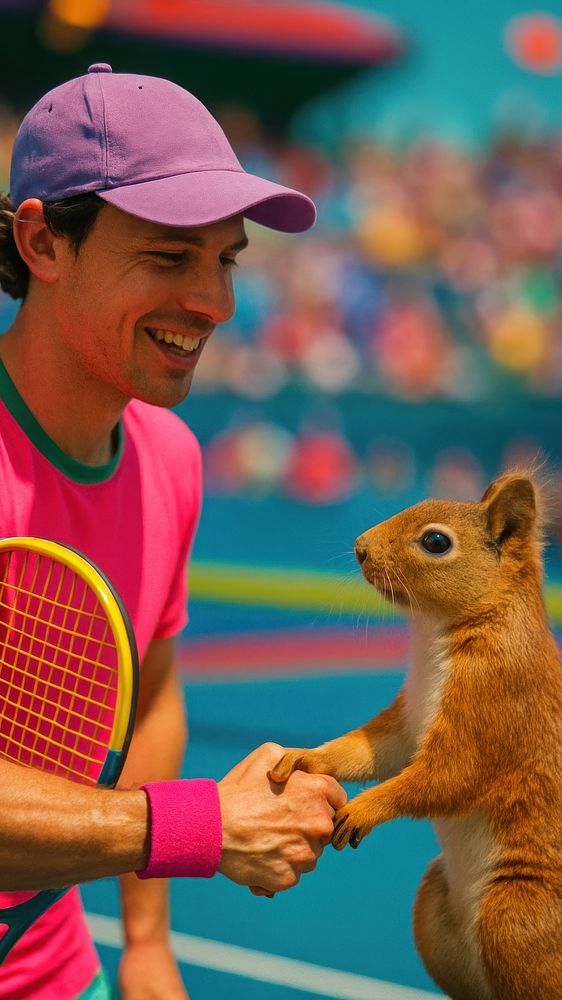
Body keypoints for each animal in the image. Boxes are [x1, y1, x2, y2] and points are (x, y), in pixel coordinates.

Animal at [269, 470, 562, 1000]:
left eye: (436, 542)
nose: (360, 547)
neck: (437, 635)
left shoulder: (495, 706)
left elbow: (448, 776)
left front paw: (366, 808)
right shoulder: (406, 723)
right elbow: (373, 751)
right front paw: (307, 757)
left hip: (514, 918)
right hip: (434, 912)